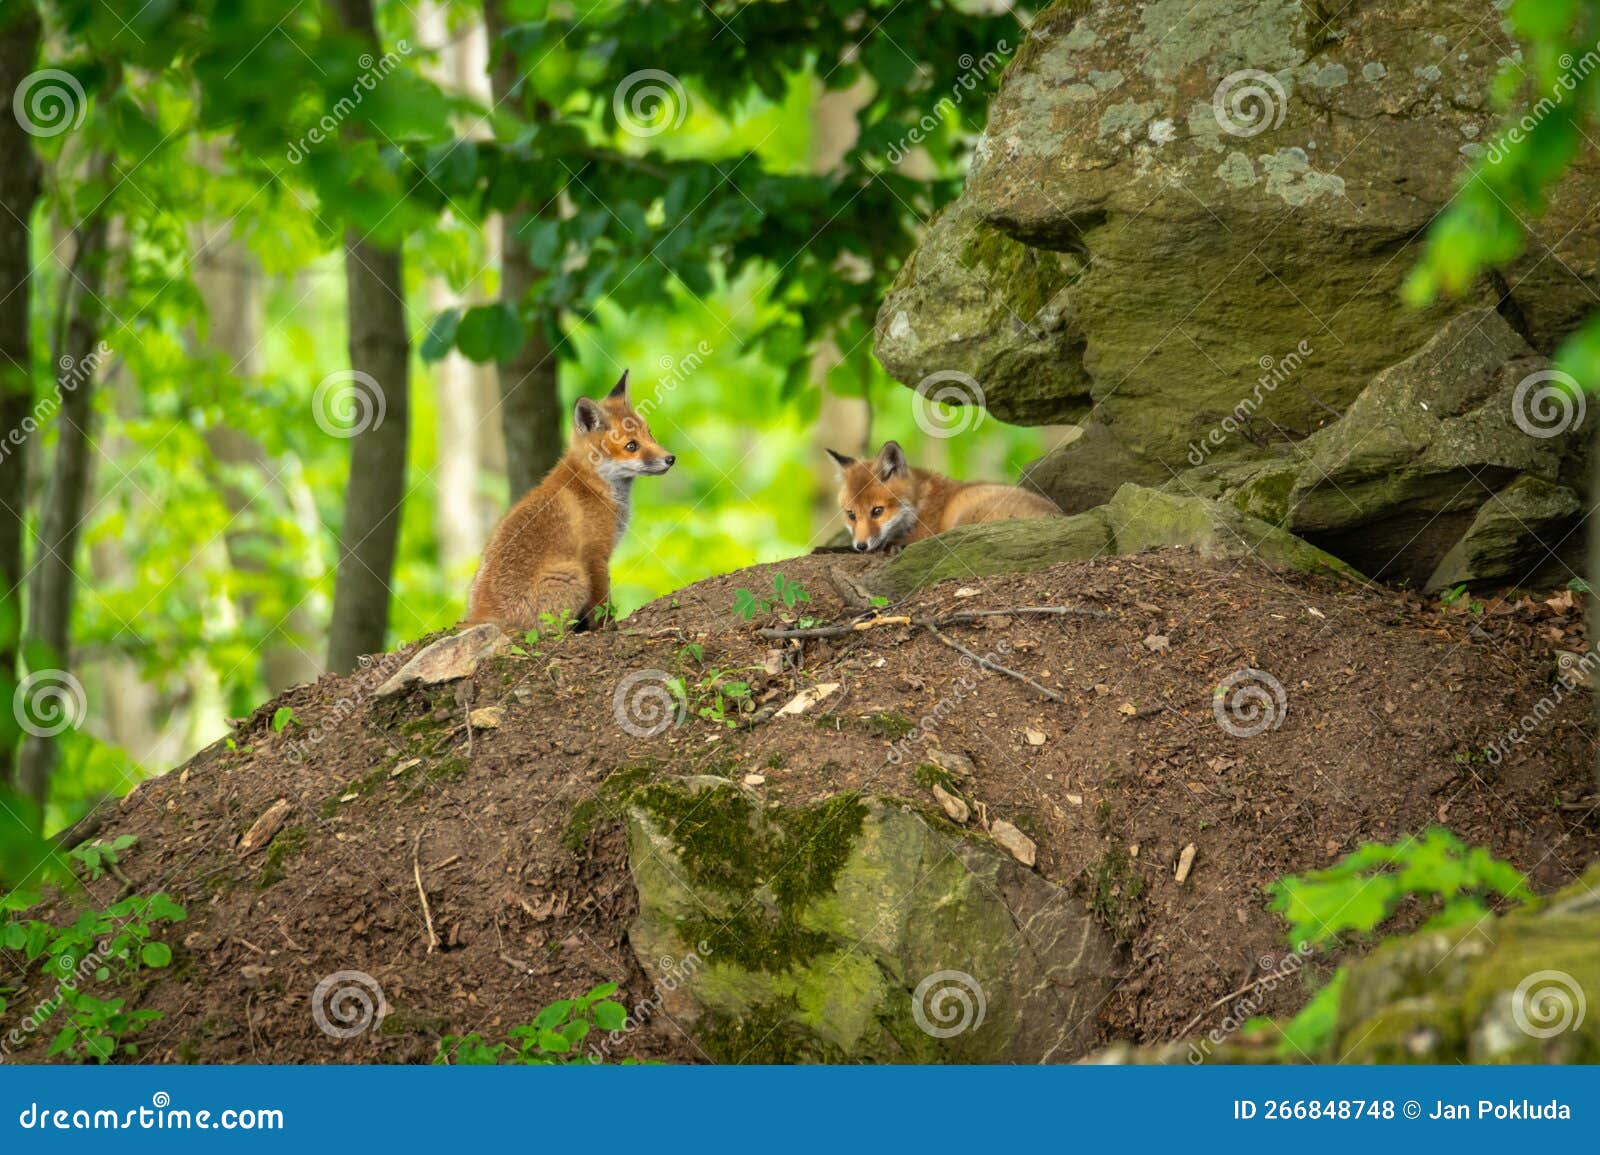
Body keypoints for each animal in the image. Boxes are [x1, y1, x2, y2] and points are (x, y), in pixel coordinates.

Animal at [468, 371, 674, 631]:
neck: (591, 484)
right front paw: (606, 628)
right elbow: (602, 604)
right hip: (574, 574)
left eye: (650, 433)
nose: (670, 458)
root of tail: (481, 616)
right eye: (631, 446)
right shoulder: (595, 555)